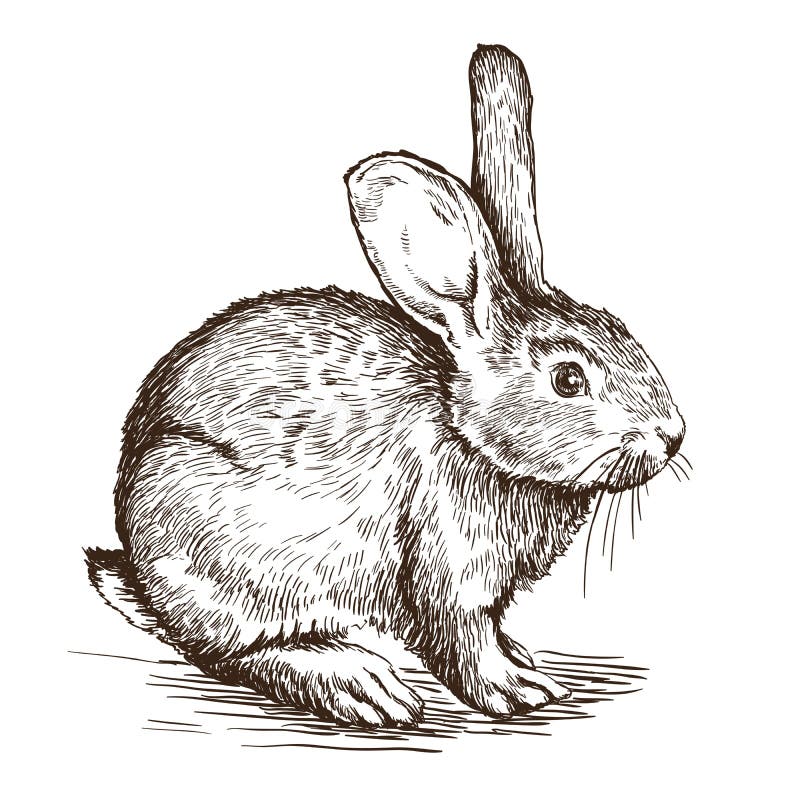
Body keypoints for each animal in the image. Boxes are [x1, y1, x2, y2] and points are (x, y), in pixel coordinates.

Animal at [91, 44, 685, 728]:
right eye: (568, 379)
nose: (673, 434)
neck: (470, 437)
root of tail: (136, 564)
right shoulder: (447, 566)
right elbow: (463, 641)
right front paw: (514, 691)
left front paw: (522, 660)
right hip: (239, 563)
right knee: (231, 651)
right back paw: (359, 684)